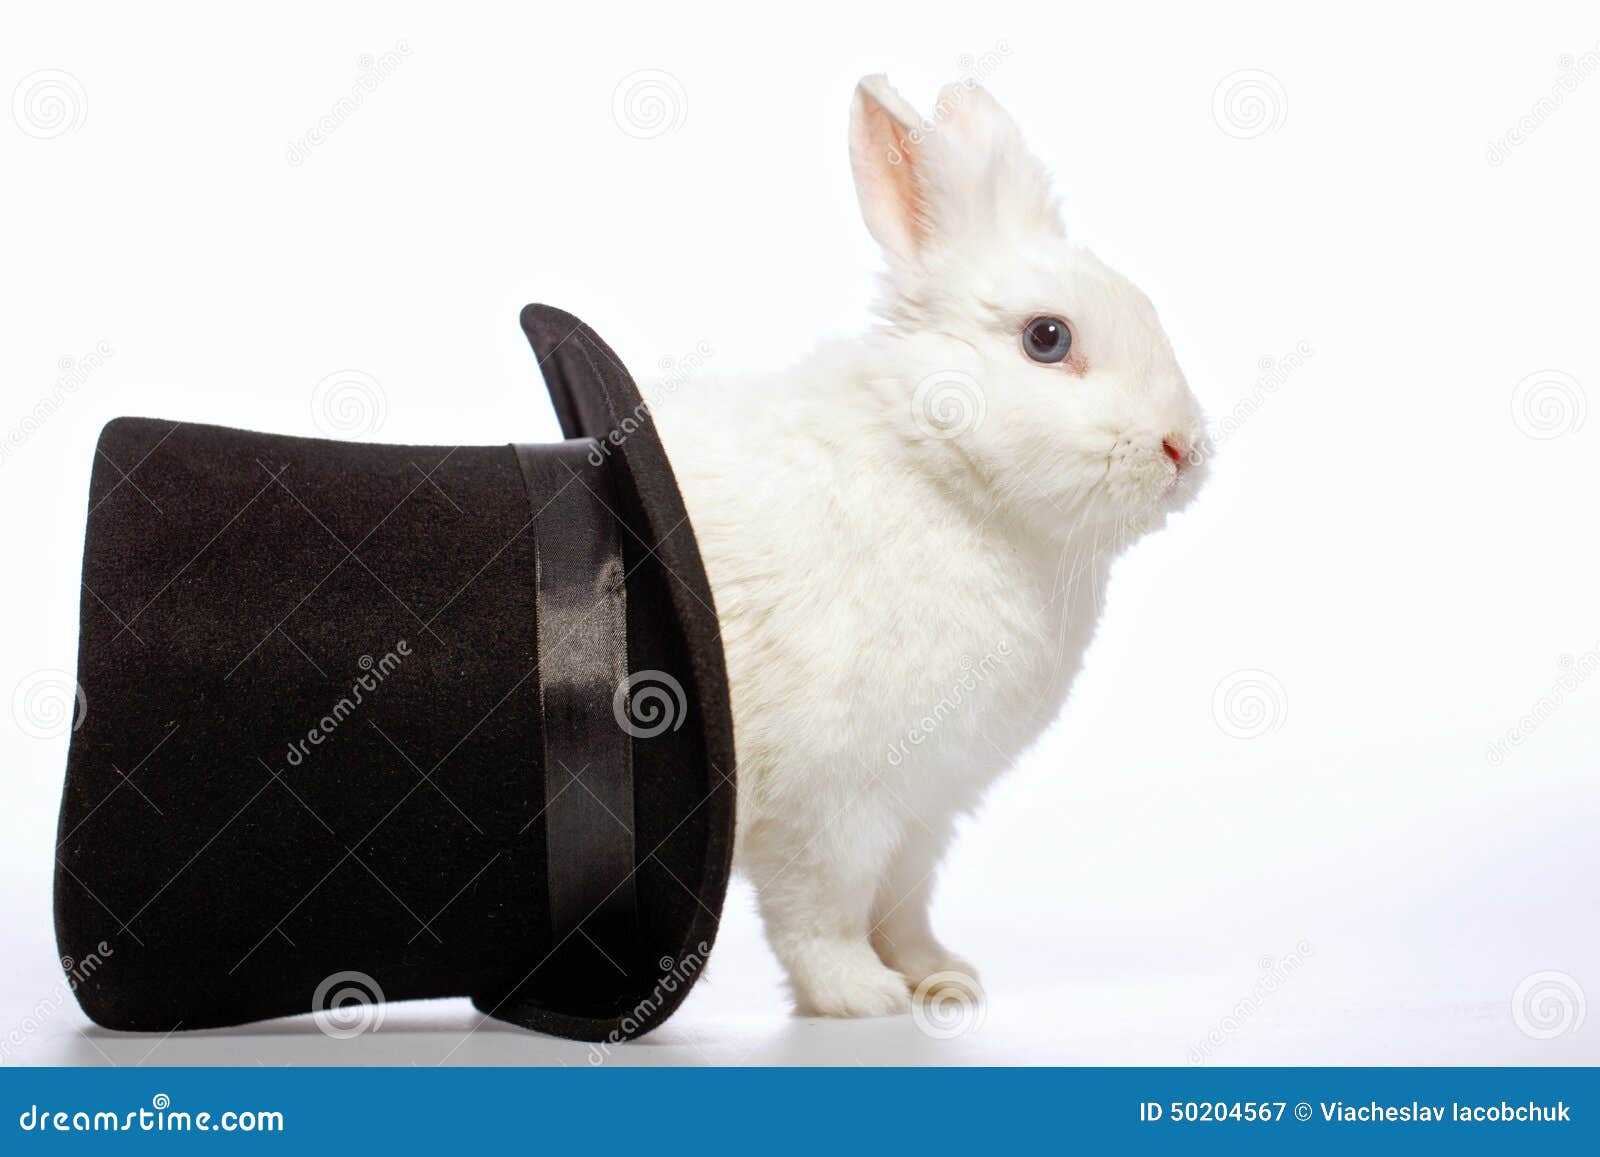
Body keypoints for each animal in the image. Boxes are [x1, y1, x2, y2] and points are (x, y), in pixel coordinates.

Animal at [651, 74, 1208, 1017]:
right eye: (1047, 337)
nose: (1181, 448)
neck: (942, 474)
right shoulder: (831, 806)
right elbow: (821, 914)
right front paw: (862, 998)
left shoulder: (924, 810)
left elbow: (903, 904)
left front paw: (945, 982)